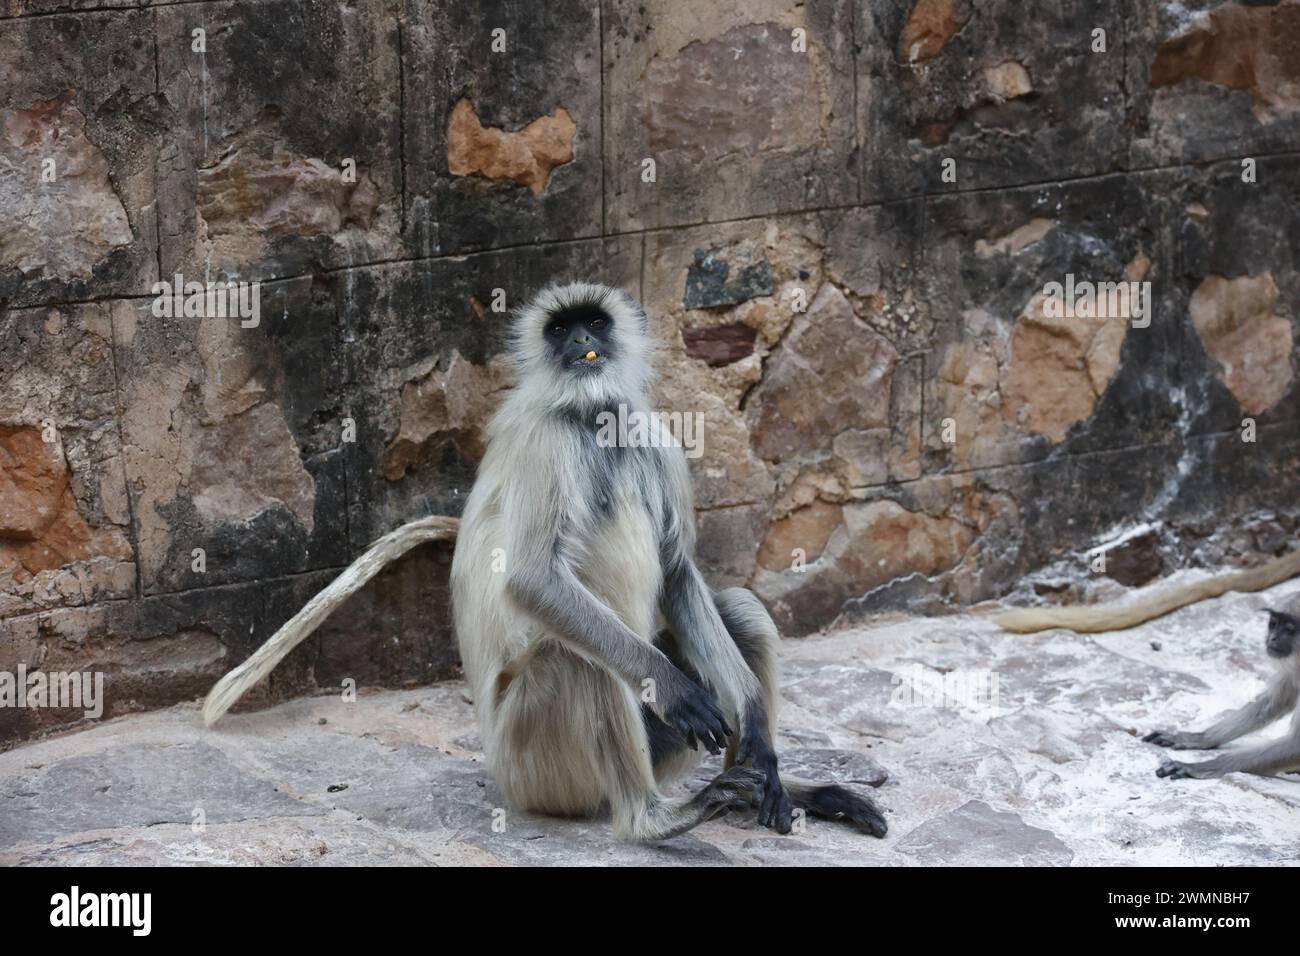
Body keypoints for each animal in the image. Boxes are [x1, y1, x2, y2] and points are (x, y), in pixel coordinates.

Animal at [204, 282, 887, 843]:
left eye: (594, 323)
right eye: (560, 329)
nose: (582, 342)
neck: (593, 420)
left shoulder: (652, 435)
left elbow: (676, 572)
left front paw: (764, 748)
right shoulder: (547, 442)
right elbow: (534, 582)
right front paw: (671, 687)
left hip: (650, 748)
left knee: (737, 609)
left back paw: (769, 786)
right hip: (536, 769)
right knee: (576, 657)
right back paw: (653, 821)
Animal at [1144, 596, 1300, 780]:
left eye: (1289, 630)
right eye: (1273, 624)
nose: (1272, 638)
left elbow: (1296, 745)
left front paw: (1199, 767)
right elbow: (1273, 703)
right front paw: (1196, 738)